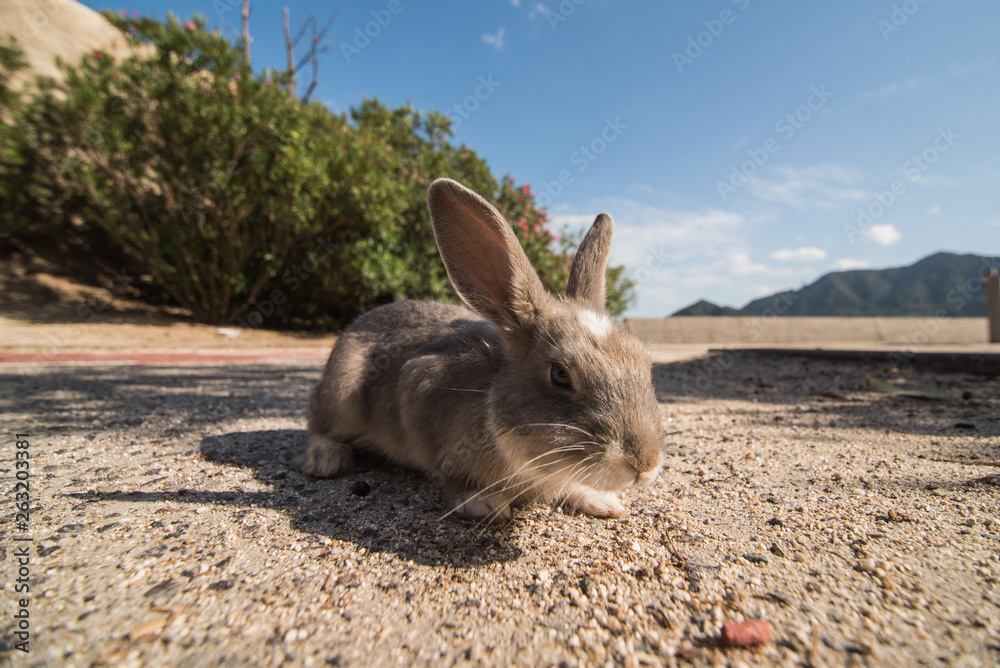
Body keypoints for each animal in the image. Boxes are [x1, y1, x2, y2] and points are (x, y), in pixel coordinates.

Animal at [299, 178, 664, 520]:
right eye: (559, 374)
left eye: (645, 364)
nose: (643, 464)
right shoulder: (418, 395)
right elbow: (450, 476)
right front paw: (482, 502)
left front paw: (602, 501)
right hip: (341, 393)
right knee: (317, 425)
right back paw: (327, 459)